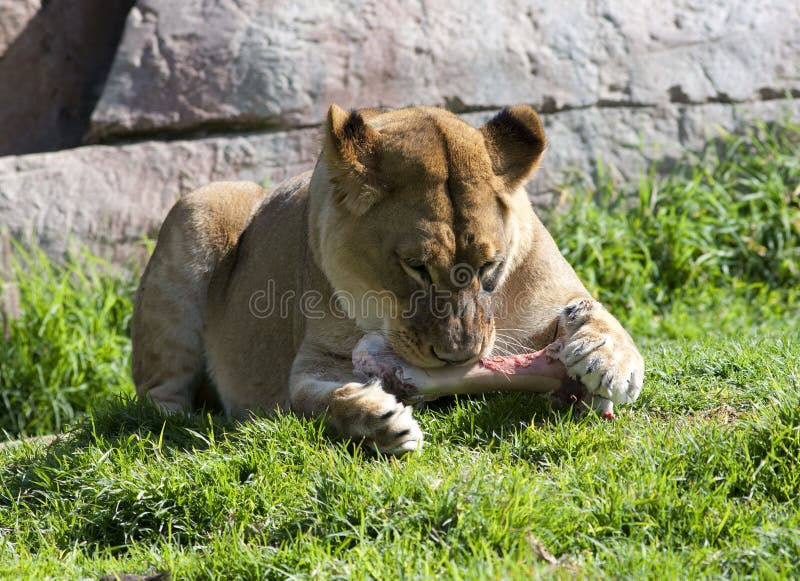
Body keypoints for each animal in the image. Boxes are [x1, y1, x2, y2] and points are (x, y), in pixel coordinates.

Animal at [132, 104, 644, 454]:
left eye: (488, 266)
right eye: (416, 266)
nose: (460, 357)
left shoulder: (555, 294)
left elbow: (601, 315)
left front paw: (608, 361)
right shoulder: (313, 361)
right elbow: (320, 397)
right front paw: (378, 421)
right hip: (200, 206)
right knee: (156, 395)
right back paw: (187, 426)